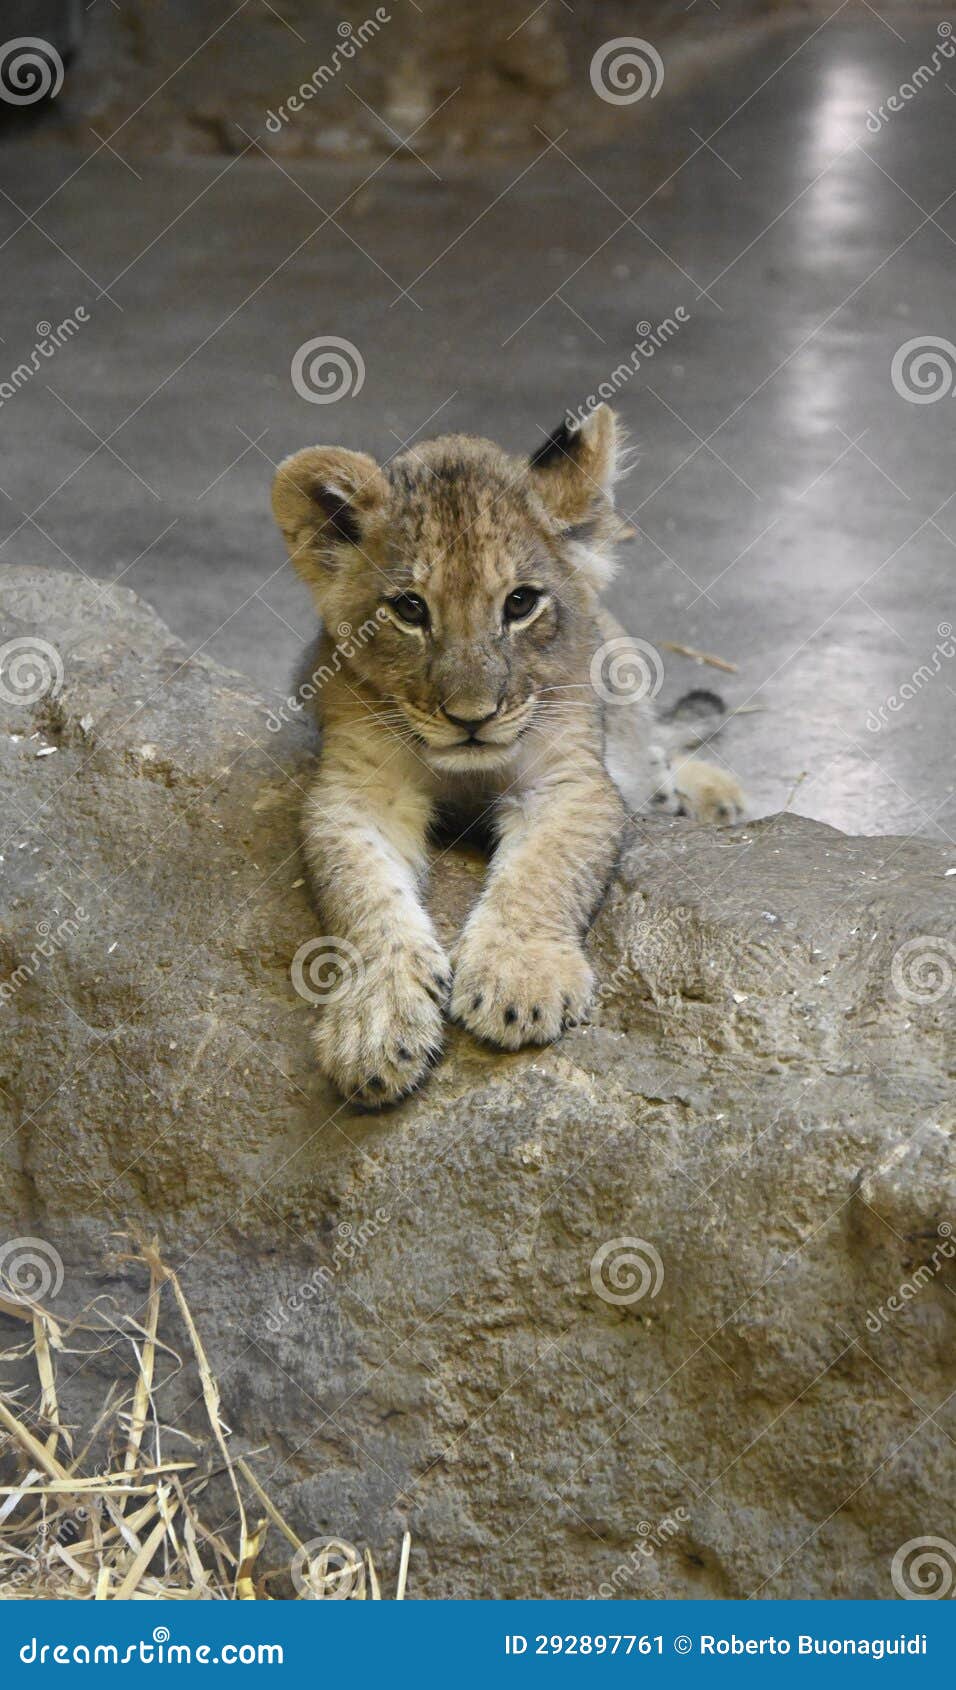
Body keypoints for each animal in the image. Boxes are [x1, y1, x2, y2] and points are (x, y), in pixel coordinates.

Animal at [271, 404, 744, 1105]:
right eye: (410, 608)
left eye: (520, 602)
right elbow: (363, 898)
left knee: (655, 740)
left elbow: (542, 874)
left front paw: (518, 982)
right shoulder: (358, 790)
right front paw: (376, 1021)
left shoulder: (567, 778)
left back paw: (707, 794)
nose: (472, 718)